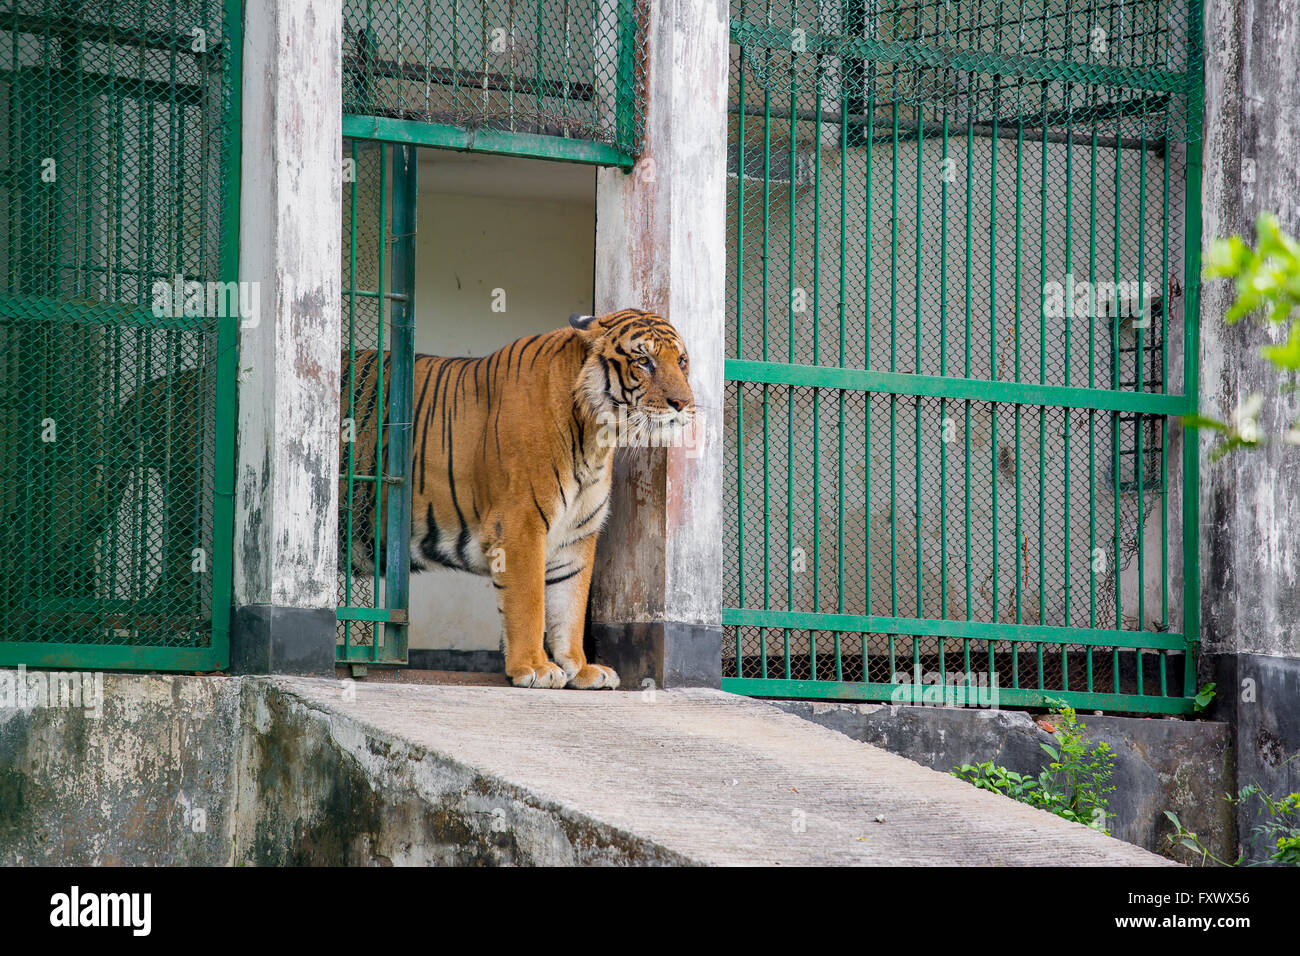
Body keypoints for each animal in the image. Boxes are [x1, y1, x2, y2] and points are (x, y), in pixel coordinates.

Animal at [344, 308, 696, 689]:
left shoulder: (577, 535)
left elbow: (569, 604)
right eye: (644, 361)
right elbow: (529, 602)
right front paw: (536, 667)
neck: (596, 436)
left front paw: (581, 669)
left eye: (681, 361)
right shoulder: (520, 523)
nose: (682, 403)